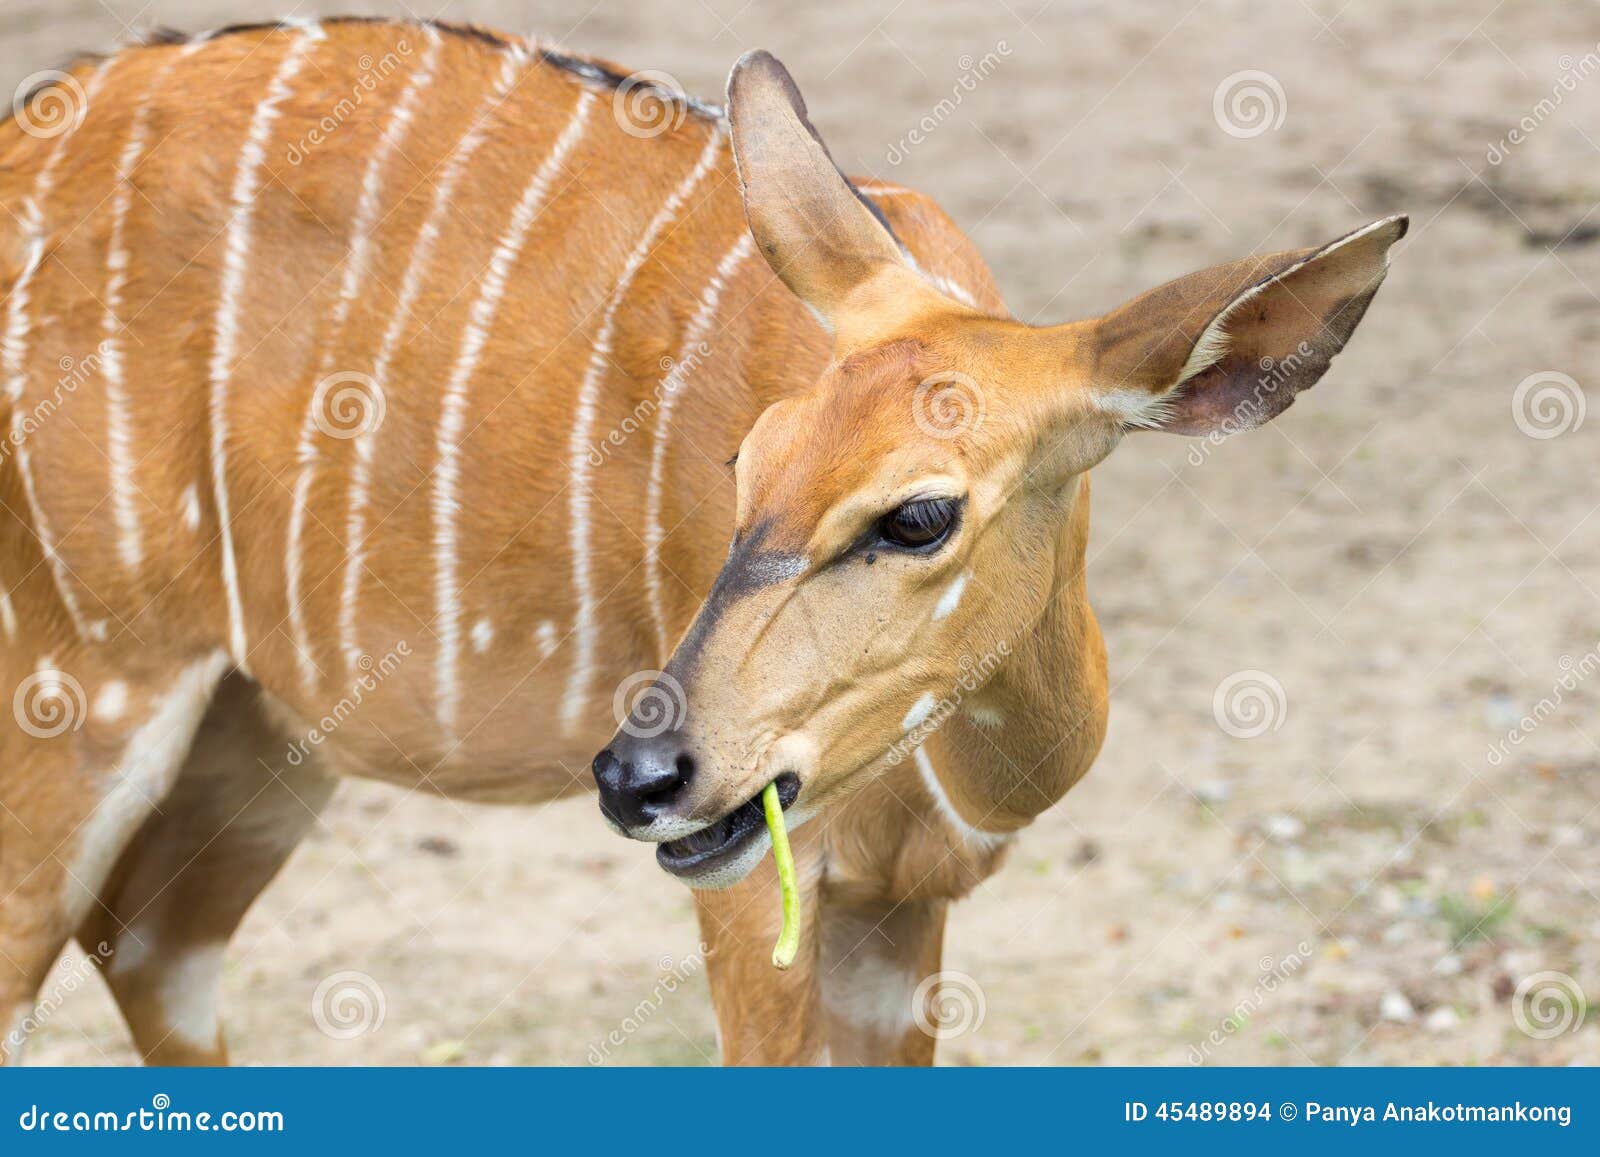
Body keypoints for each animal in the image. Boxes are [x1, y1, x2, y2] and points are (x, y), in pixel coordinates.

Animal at [0, 17, 1404, 1066]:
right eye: (742, 461)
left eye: (918, 512)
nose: (638, 774)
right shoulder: (750, 888)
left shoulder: (898, 905)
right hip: (77, 682)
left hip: (262, 723)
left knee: (151, 944)